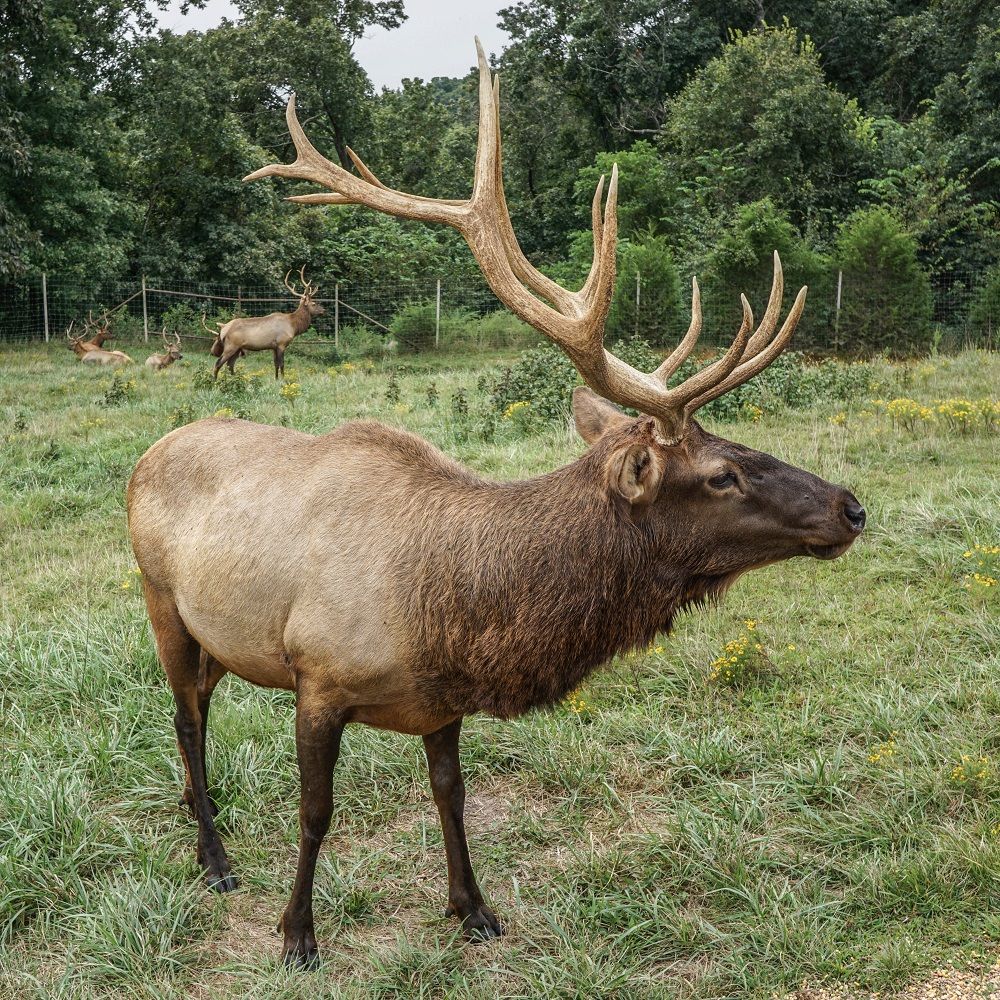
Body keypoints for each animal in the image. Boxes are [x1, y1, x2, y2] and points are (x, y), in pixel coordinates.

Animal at [127, 41, 866, 971]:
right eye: (722, 475)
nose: (850, 508)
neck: (454, 617)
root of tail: (146, 455)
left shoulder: (441, 704)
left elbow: (451, 794)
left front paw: (473, 908)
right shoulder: (318, 678)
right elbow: (316, 813)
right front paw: (297, 934)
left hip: (224, 634)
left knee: (199, 708)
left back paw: (201, 816)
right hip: (161, 600)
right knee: (185, 717)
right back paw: (215, 857)